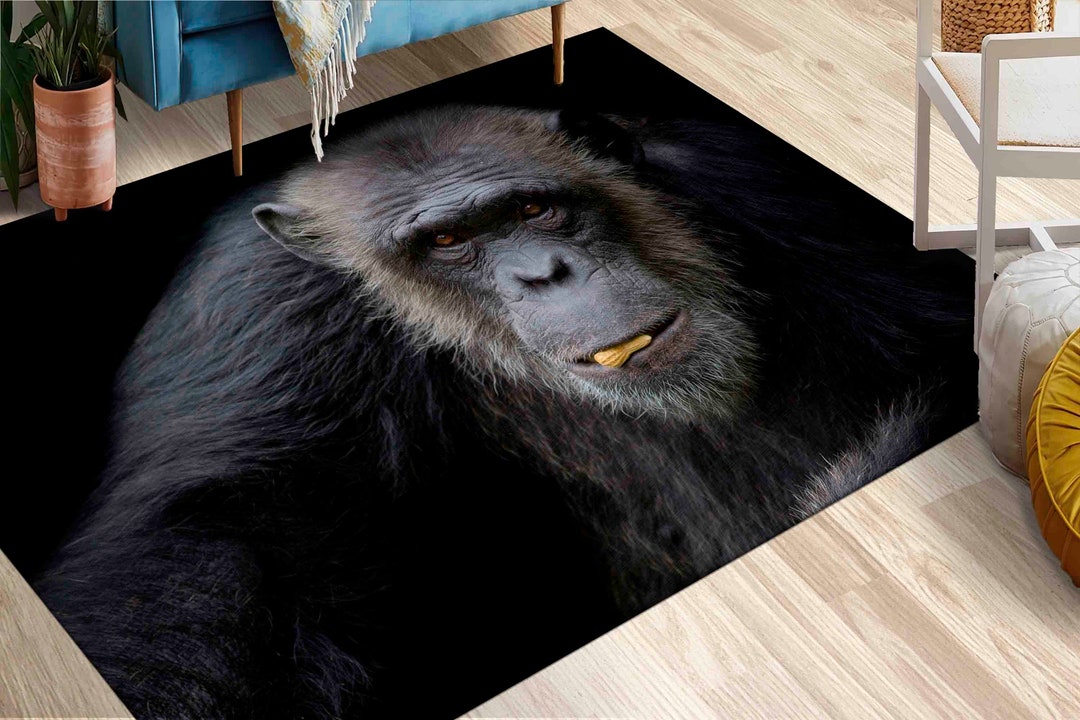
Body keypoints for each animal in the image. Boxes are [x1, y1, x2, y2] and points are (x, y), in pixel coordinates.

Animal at [32, 106, 974, 719]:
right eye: (448, 242)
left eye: (533, 207)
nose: (543, 273)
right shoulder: (258, 308)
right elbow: (222, 547)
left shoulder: (760, 192)